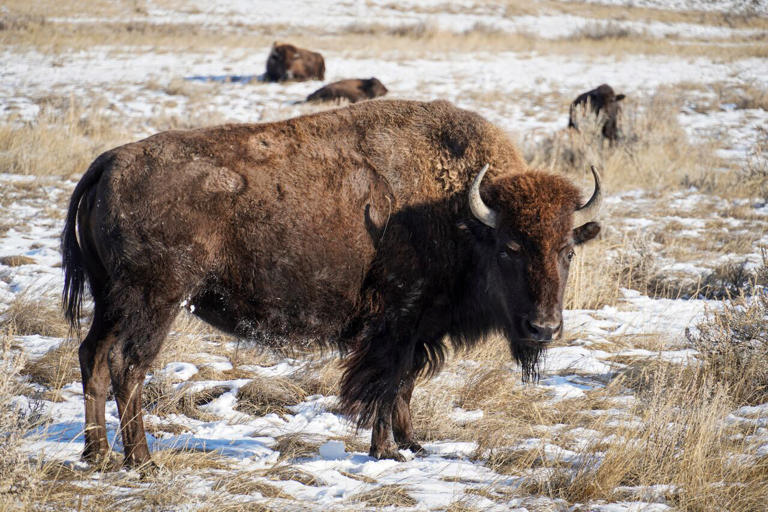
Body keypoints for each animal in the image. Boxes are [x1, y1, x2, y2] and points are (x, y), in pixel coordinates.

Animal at [61, 99, 602, 467]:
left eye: (567, 250)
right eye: (510, 248)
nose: (544, 329)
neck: (462, 216)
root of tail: (109, 163)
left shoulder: (419, 330)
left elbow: (404, 385)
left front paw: (413, 443)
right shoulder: (395, 324)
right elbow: (386, 385)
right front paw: (386, 451)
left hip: (111, 301)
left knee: (93, 357)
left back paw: (97, 455)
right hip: (155, 301)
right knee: (129, 366)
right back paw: (142, 461)